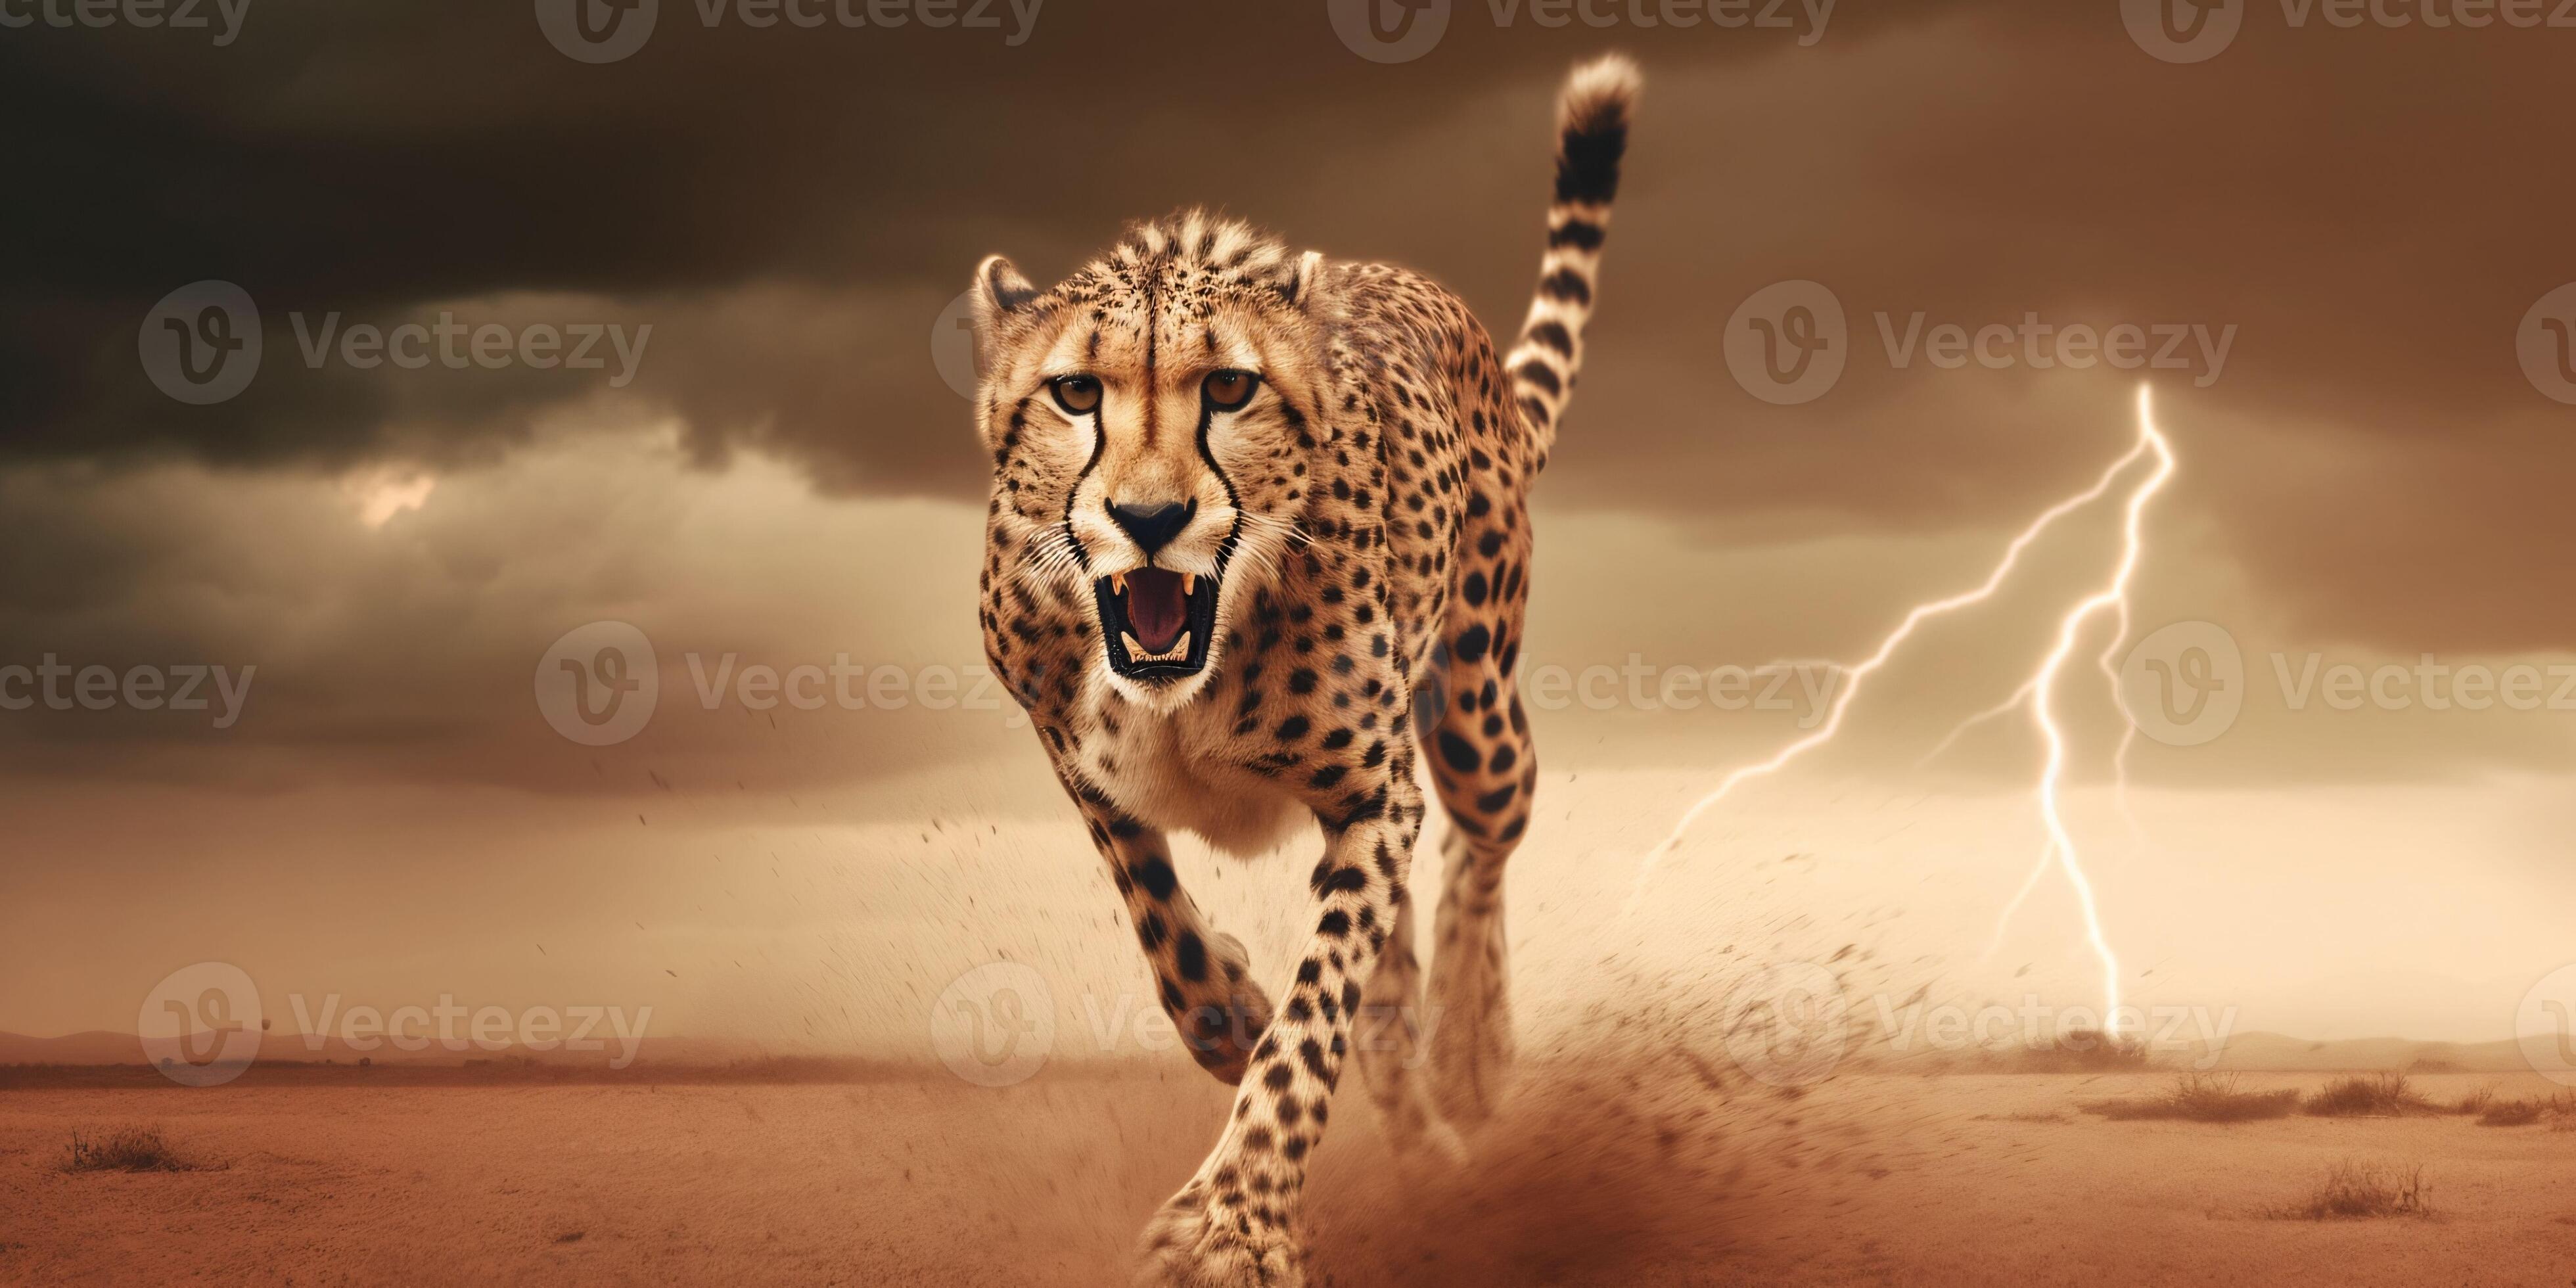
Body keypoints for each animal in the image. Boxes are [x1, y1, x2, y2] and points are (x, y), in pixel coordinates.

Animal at [964, 54, 1639, 1286]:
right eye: (1076, 394)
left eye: (1229, 391)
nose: (1148, 519)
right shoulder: (1072, 753)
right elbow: (1162, 919)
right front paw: (1227, 1007)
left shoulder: (1376, 797)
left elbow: (1314, 1023)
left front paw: (1234, 1228)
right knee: (1396, 977)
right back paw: (1426, 1151)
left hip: (1473, 708)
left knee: (1484, 842)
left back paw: (1474, 1051)